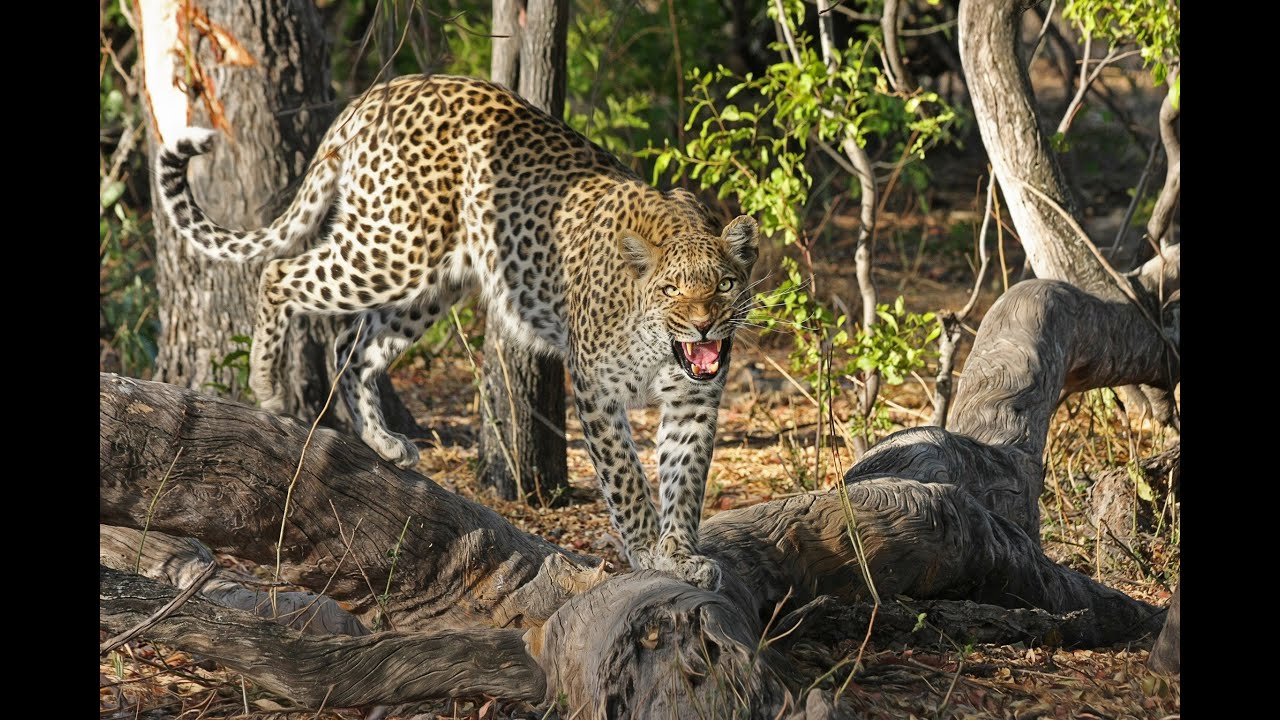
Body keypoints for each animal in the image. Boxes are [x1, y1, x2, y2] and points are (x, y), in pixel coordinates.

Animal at [154, 74, 760, 589]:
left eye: (726, 285)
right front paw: (647, 551)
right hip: (394, 248)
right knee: (280, 274)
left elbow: (685, 481)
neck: (661, 347)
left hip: (431, 283)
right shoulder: (595, 389)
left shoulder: (694, 401)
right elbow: (627, 480)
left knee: (352, 345)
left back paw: (382, 441)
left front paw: (680, 555)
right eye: (672, 290)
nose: (703, 323)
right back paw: (268, 385)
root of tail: (377, 92)